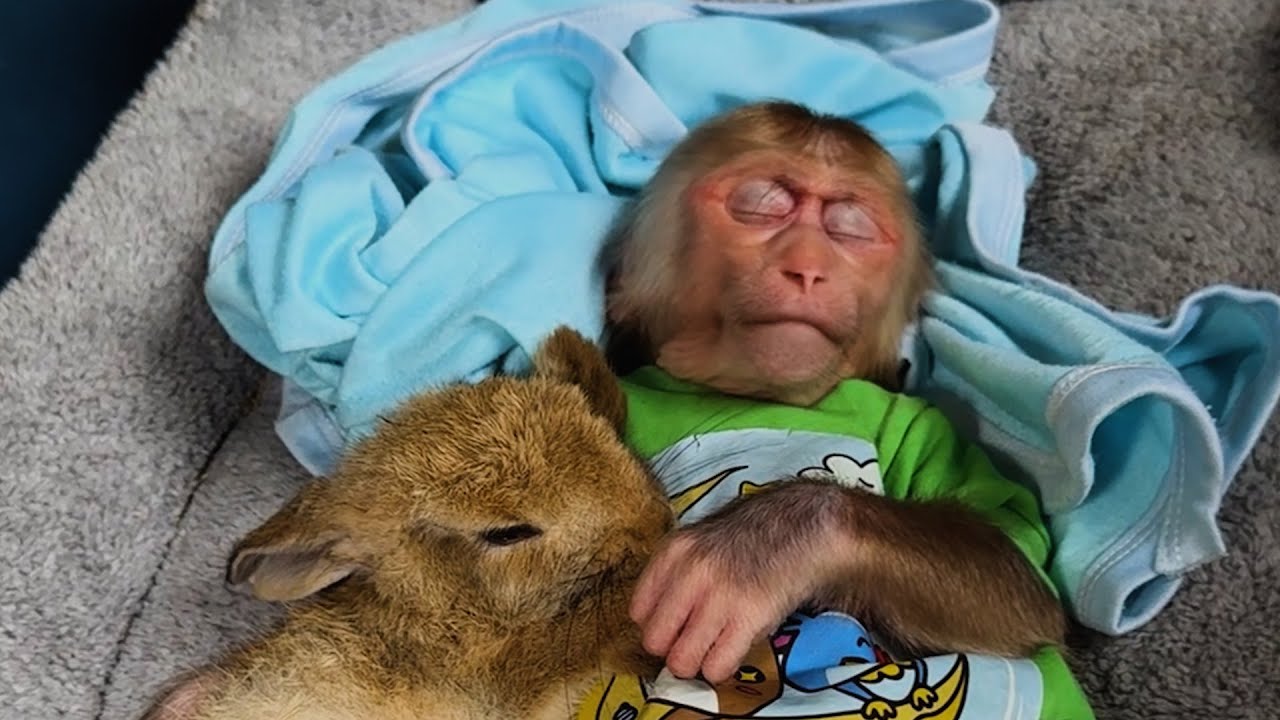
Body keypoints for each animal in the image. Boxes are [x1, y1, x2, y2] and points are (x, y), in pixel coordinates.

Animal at [600, 101, 1074, 692]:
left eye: (852, 228)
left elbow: (1018, 578)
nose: (807, 265)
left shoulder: (926, 422)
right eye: (759, 204)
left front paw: (755, 551)